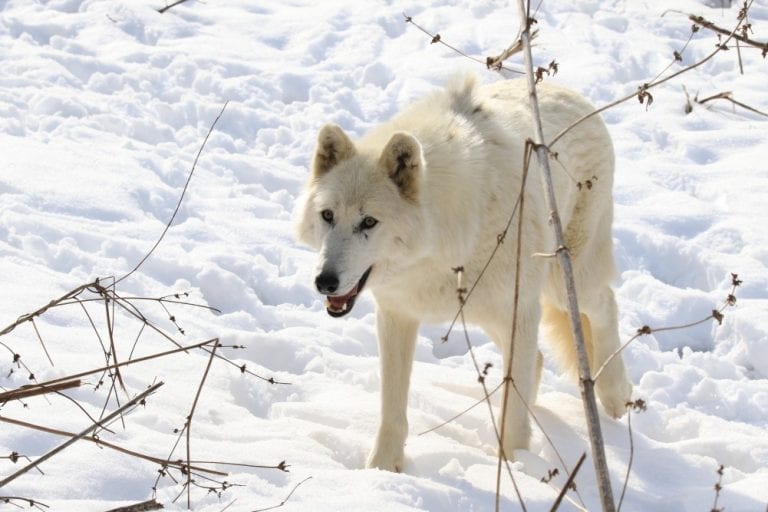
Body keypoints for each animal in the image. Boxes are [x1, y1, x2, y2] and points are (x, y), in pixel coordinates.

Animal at [295, 76, 632, 472]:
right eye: (328, 216)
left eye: (368, 222)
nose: (324, 281)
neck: (441, 243)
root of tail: (570, 92)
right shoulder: (397, 313)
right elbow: (392, 409)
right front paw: (382, 471)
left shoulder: (519, 310)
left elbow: (512, 416)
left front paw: (513, 468)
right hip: (492, 312)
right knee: (537, 360)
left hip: (563, 284)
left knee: (605, 306)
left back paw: (616, 395)